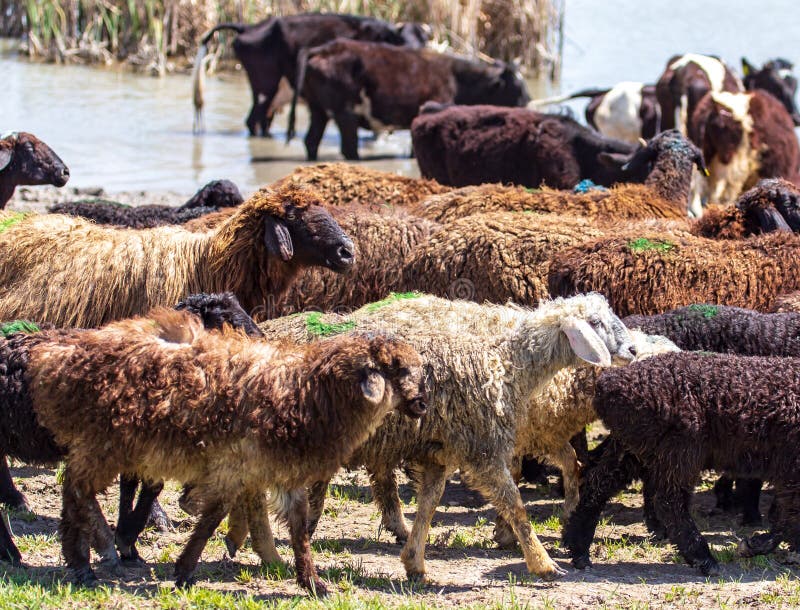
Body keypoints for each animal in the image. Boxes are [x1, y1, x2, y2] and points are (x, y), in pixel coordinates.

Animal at [0, 292, 266, 563]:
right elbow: (150, 486)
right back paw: (12, 550)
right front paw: (129, 536)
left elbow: (132, 486)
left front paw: (129, 542)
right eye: (226, 324)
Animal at [27, 308, 427, 591]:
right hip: (102, 442)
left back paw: (83, 558)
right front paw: (184, 571)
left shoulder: (284, 472)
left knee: (73, 492)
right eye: (400, 369)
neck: (308, 392)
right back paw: (85, 561)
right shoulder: (234, 464)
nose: (423, 404)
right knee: (76, 490)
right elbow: (211, 519)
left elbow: (299, 530)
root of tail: (54, 360)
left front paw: (312, 583)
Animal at [246, 292, 636, 582]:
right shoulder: (483, 448)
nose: (632, 351)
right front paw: (542, 563)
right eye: (596, 323)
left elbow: (429, 504)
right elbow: (514, 503)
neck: (504, 365)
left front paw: (414, 562)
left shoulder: (439, 453)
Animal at [563, 352, 800, 576]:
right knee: (669, 501)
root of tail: (608, 384)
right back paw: (703, 559)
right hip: (680, 445)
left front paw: (760, 545)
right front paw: (754, 545)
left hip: (634, 447)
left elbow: (786, 517)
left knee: (597, 485)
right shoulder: (792, 468)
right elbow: (789, 517)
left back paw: (578, 549)